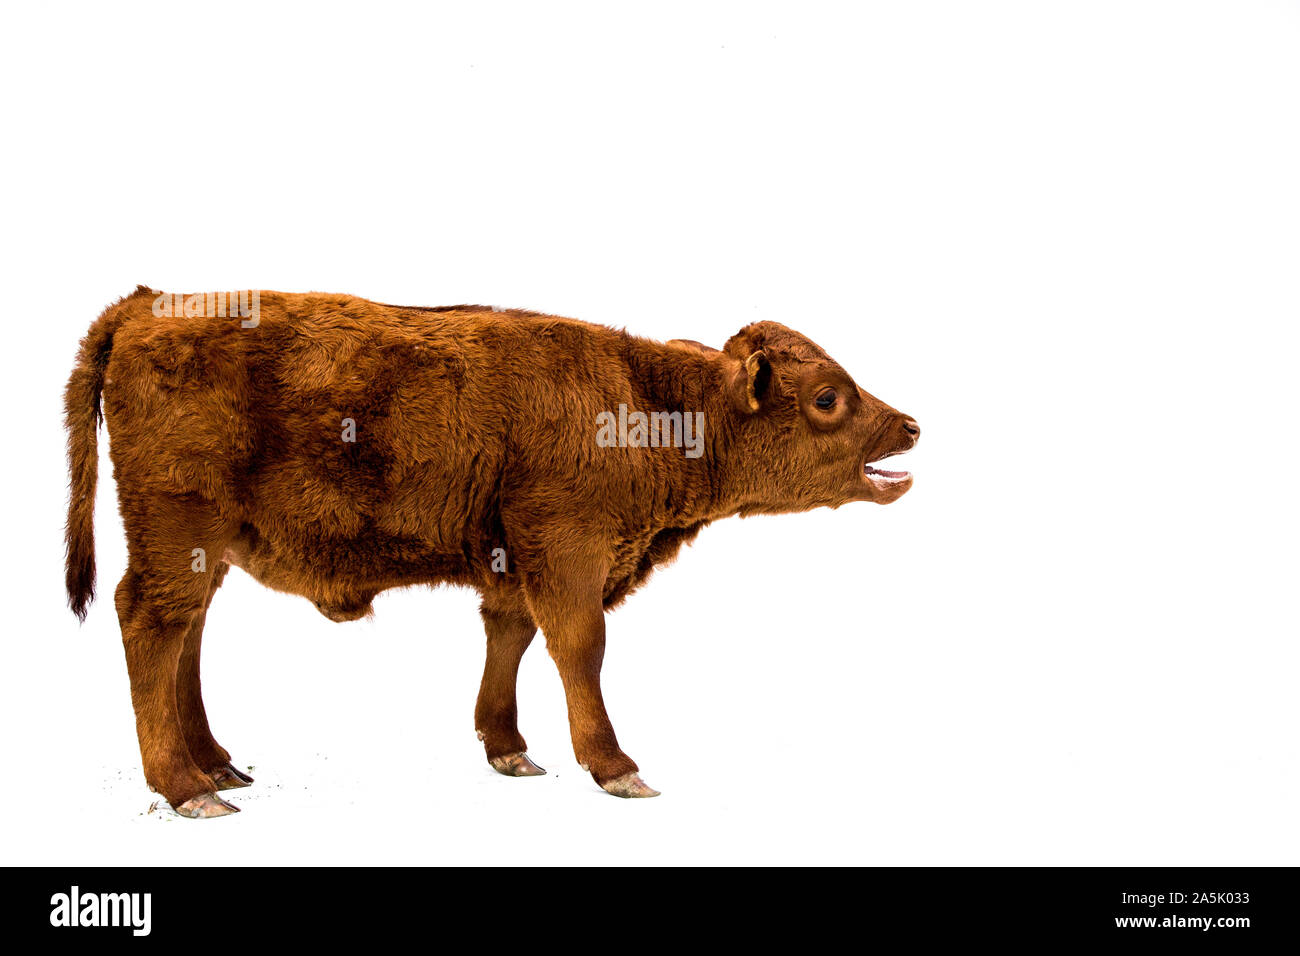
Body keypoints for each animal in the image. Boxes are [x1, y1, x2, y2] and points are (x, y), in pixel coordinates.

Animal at [64, 286, 920, 816]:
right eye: (827, 399)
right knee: (151, 623)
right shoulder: (567, 551)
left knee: (187, 634)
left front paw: (509, 750)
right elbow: (579, 646)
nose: (909, 426)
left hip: (207, 548)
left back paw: (216, 763)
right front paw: (616, 768)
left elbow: (511, 635)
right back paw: (186, 788)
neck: (651, 401)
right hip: (176, 533)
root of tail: (145, 307)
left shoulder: (517, 562)